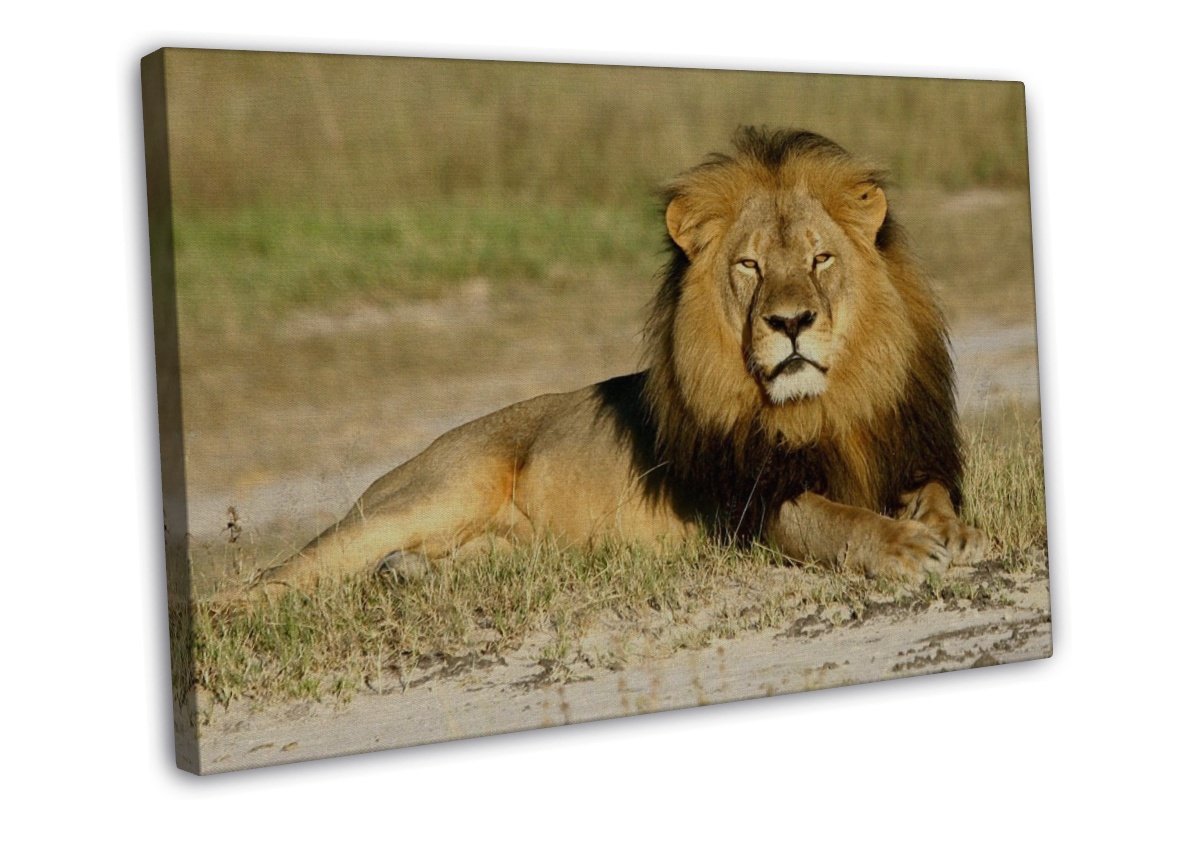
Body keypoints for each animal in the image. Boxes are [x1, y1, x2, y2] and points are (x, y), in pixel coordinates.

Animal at [243, 127, 987, 598]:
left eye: (819, 257)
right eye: (749, 266)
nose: (791, 322)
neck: (823, 406)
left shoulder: (907, 451)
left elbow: (936, 494)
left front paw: (952, 532)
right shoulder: (747, 505)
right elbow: (833, 519)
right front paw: (904, 548)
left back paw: (407, 575)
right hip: (434, 492)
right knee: (277, 575)